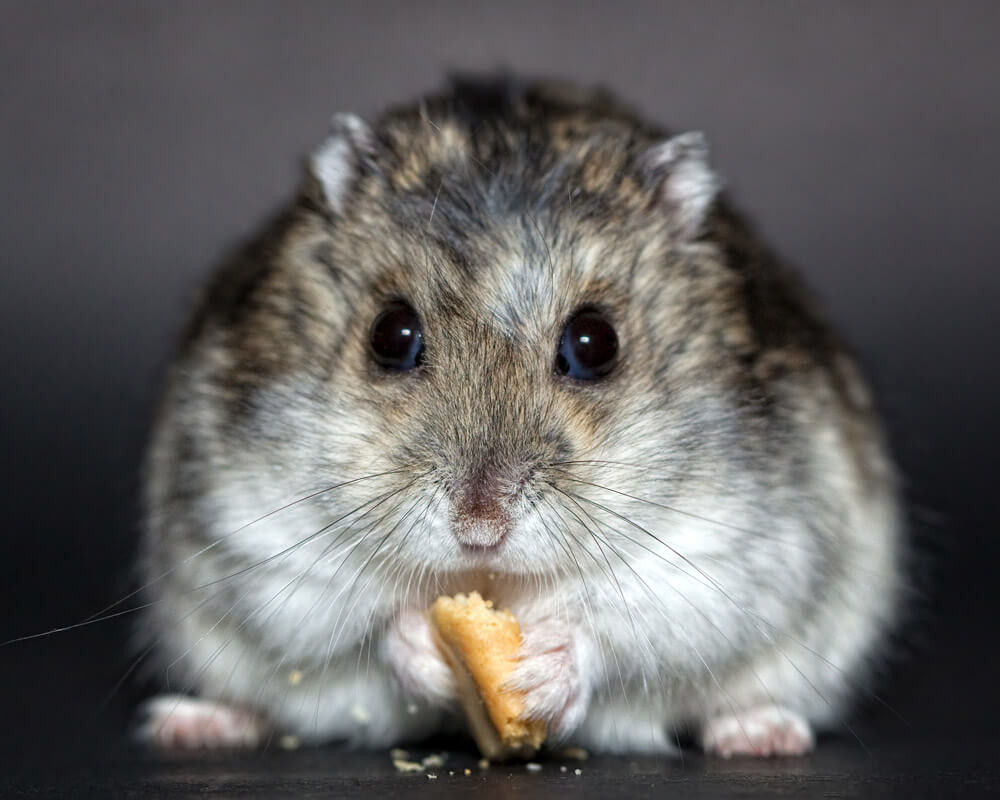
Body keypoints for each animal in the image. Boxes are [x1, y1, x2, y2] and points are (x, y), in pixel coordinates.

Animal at [135, 77, 902, 756]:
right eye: (390, 335)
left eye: (595, 343)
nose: (480, 529)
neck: (496, 582)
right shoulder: (258, 536)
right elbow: (359, 621)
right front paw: (423, 644)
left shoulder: (726, 553)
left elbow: (625, 626)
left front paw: (540, 670)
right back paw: (192, 723)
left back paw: (761, 735)